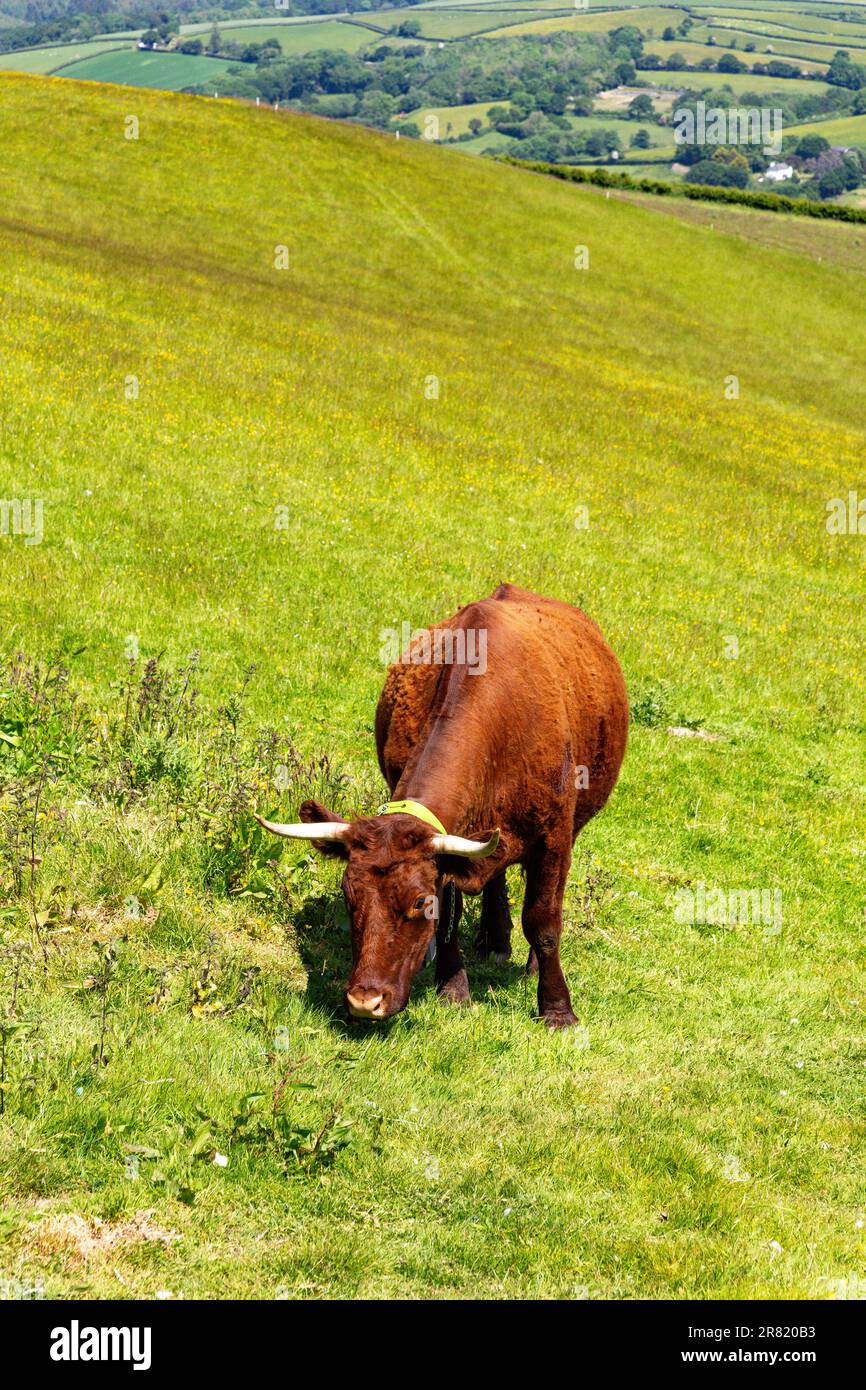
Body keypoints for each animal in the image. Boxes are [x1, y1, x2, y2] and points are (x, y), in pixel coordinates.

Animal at [256, 584, 628, 1027]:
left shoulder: (553, 838)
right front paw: (453, 988)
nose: (365, 1000)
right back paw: (494, 939)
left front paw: (556, 1009)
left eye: (419, 902)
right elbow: (451, 916)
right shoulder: (451, 844)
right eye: (348, 894)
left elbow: (543, 922)